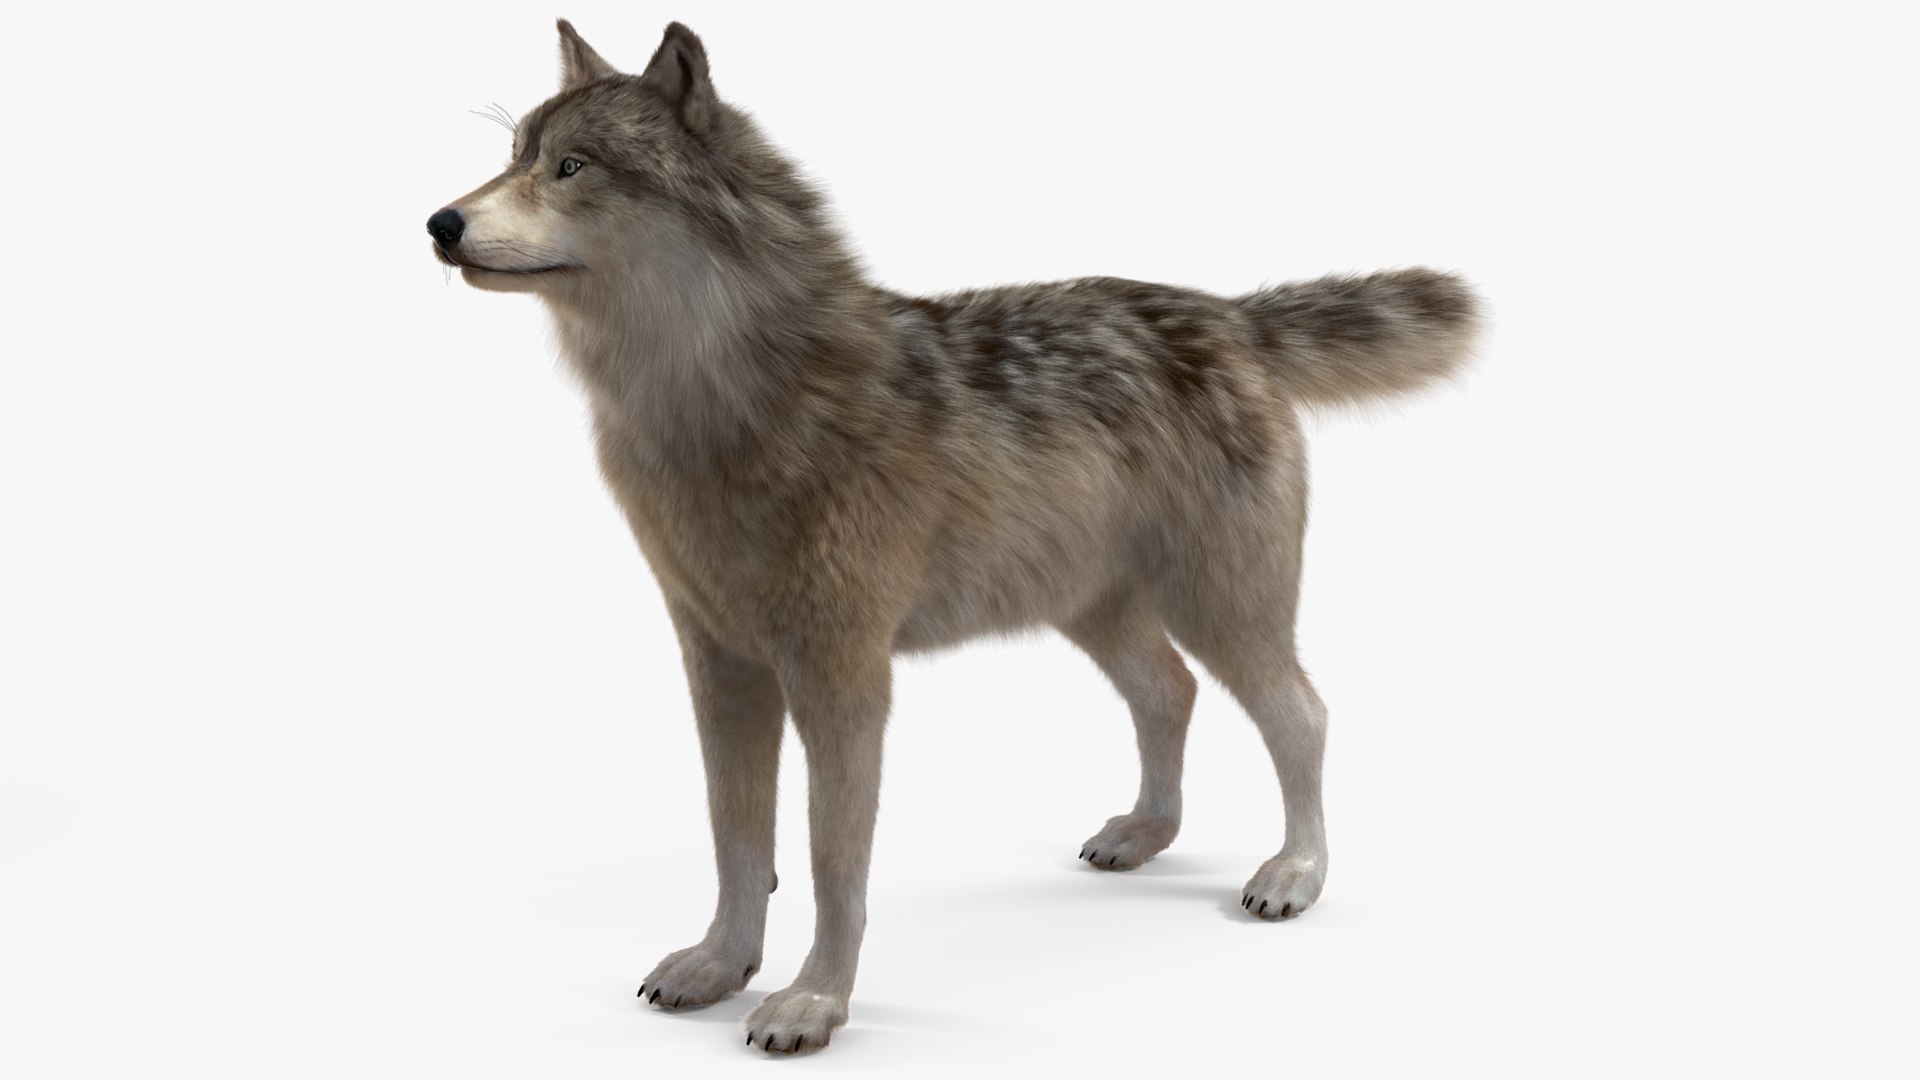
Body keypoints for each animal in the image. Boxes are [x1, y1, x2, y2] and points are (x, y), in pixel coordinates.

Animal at [427, 19, 1480, 1054]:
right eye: (513, 157)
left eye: (572, 166)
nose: (440, 223)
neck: (709, 406)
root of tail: (1228, 315)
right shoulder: (719, 663)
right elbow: (737, 841)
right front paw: (720, 967)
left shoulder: (843, 679)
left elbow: (830, 865)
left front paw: (813, 1003)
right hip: (1095, 610)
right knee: (1169, 692)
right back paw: (1141, 834)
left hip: (1221, 608)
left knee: (1302, 714)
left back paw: (1295, 872)